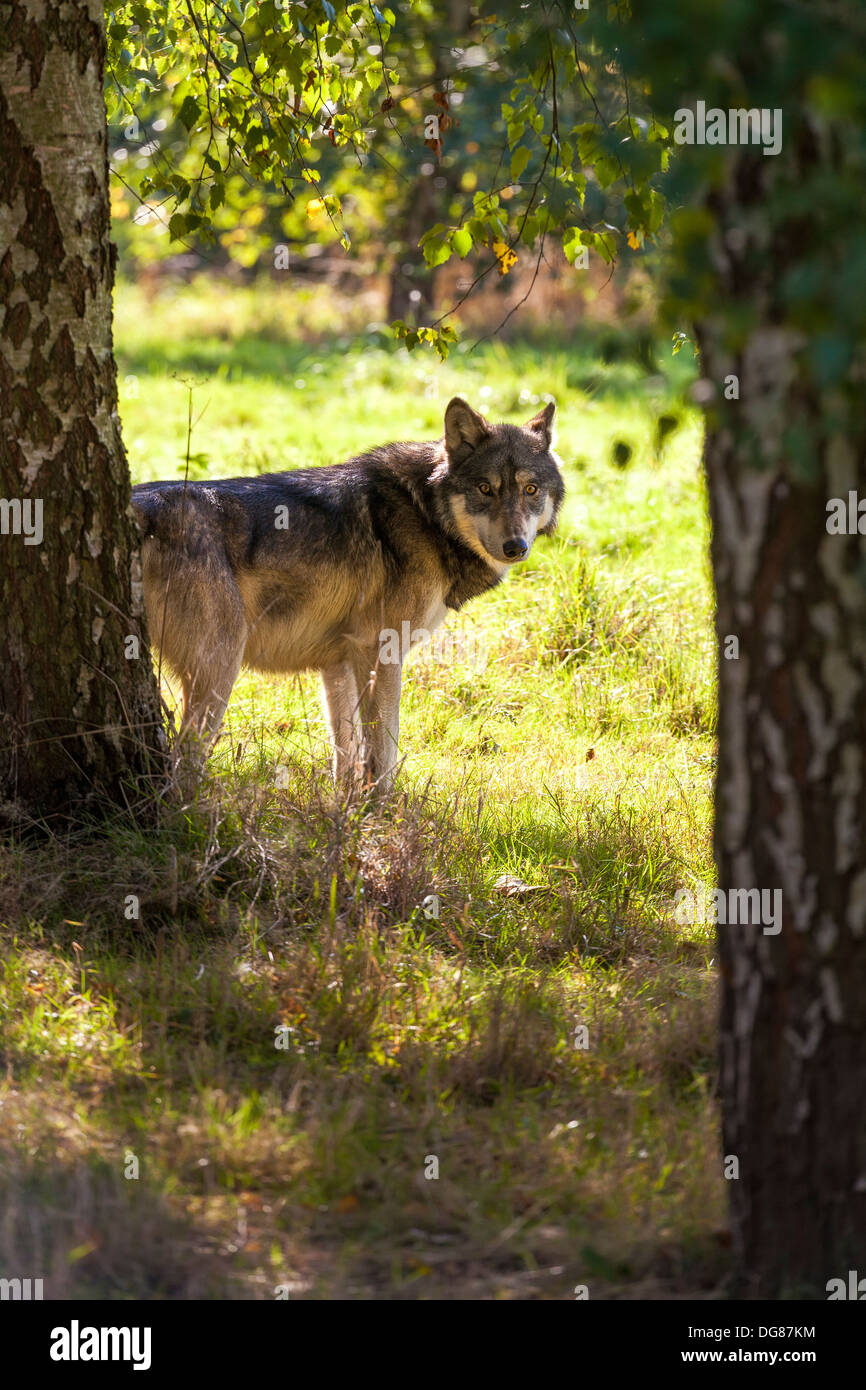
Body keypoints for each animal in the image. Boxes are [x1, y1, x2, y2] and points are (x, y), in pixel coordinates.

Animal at [132, 396, 565, 793]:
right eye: (485, 489)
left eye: (530, 490)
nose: (515, 547)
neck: (425, 513)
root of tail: (139, 507)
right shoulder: (380, 652)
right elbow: (383, 752)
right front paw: (381, 812)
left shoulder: (337, 662)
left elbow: (346, 754)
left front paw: (345, 813)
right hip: (220, 668)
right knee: (184, 763)